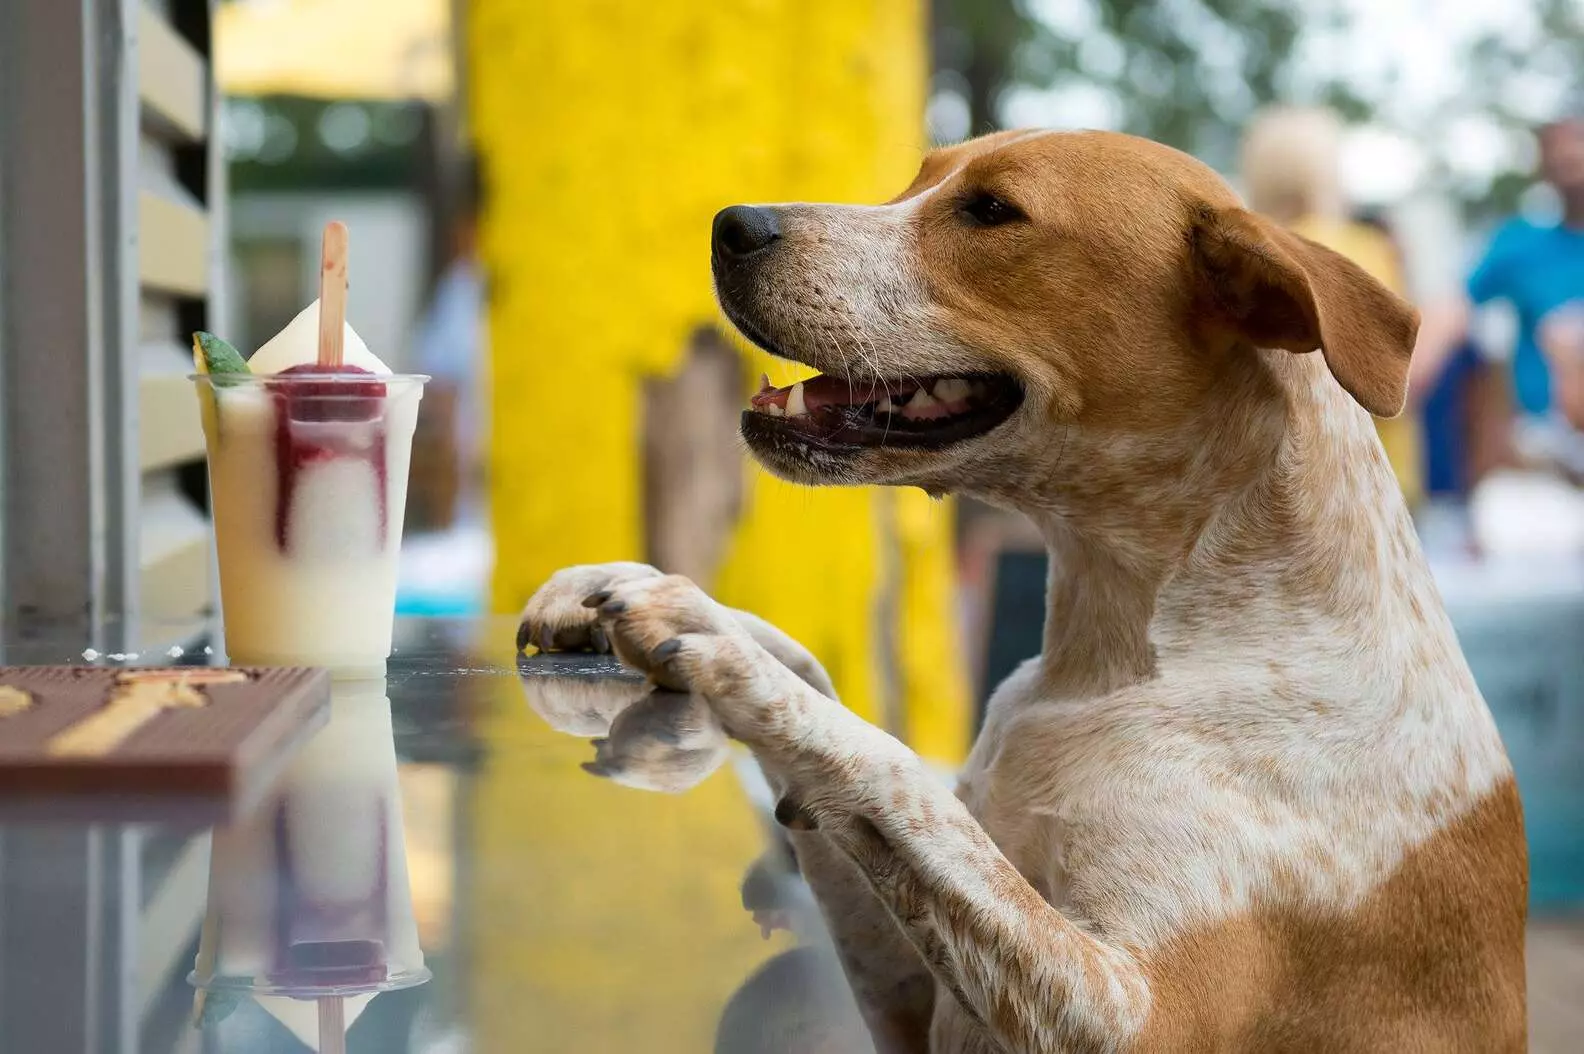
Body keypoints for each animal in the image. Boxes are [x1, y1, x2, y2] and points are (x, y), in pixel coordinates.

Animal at [516, 127, 1520, 1046]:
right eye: (916, 180)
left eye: (993, 211)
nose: (731, 224)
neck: (1117, 655)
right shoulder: (909, 1006)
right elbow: (822, 689)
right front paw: (643, 589)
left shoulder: (1130, 1012)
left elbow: (896, 770)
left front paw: (729, 662)